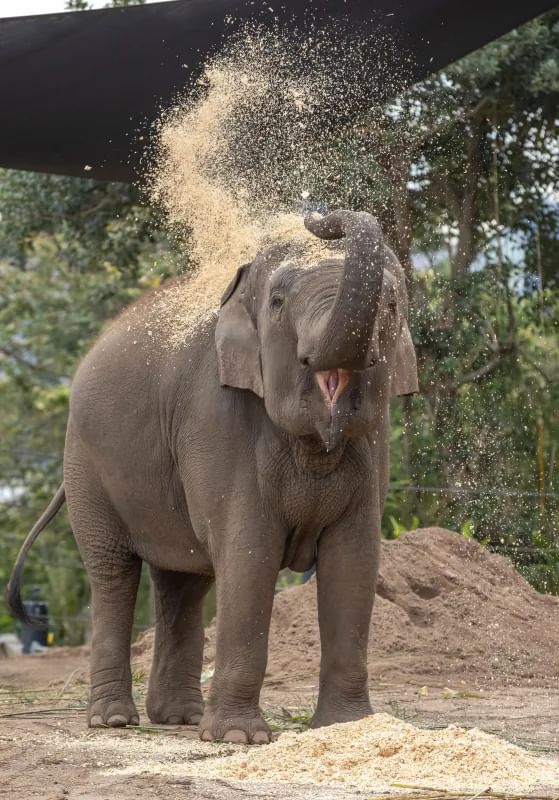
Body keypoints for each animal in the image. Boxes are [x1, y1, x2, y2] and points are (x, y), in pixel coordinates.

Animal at [7, 209, 418, 744]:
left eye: (392, 304)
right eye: (278, 302)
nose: (321, 216)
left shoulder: (374, 441)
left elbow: (354, 560)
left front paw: (348, 728)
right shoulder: (214, 417)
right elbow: (249, 553)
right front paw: (240, 738)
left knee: (183, 582)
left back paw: (180, 718)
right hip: (85, 463)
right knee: (113, 571)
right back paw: (114, 719)